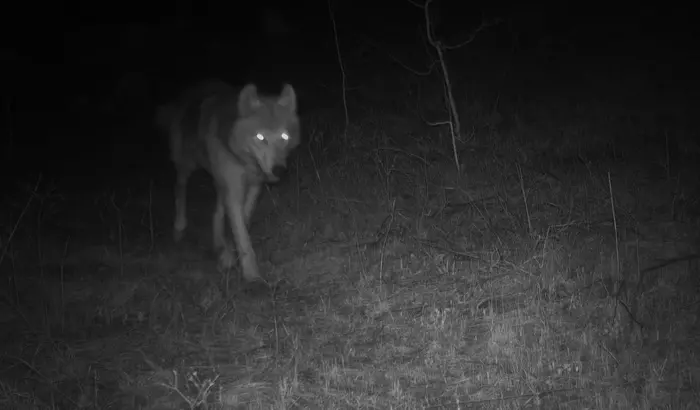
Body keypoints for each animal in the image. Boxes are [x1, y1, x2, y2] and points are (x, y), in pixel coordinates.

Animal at [156, 80, 300, 282]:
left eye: (284, 137)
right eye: (260, 137)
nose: (279, 169)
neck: (244, 160)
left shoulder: (253, 187)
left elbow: (241, 222)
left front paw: (228, 256)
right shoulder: (234, 188)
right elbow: (242, 235)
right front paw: (252, 275)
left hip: (218, 179)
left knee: (217, 211)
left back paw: (218, 243)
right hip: (186, 165)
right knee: (179, 189)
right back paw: (179, 227)